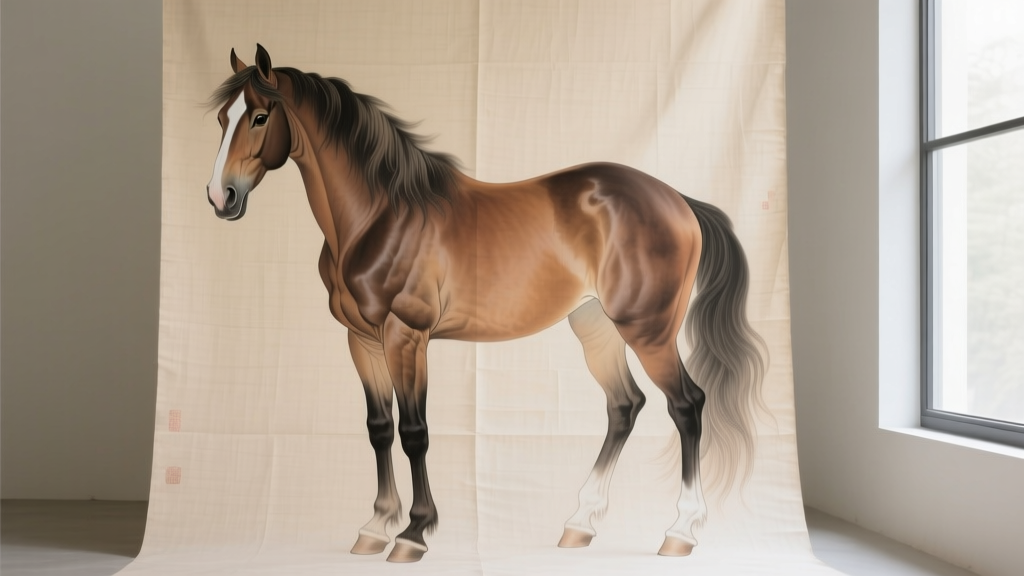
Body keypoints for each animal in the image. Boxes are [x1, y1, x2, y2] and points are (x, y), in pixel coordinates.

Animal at [206, 44, 767, 563]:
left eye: (260, 116)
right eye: (222, 117)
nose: (220, 197)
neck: (379, 217)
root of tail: (679, 201)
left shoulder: (406, 336)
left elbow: (414, 432)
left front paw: (413, 533)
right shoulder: (361, 339)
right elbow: (379, 429)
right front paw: (374, 527)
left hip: (648, 331)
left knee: (686, 405)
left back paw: (680, 533)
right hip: (596, 326)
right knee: (624, 406)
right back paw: (579, 524)